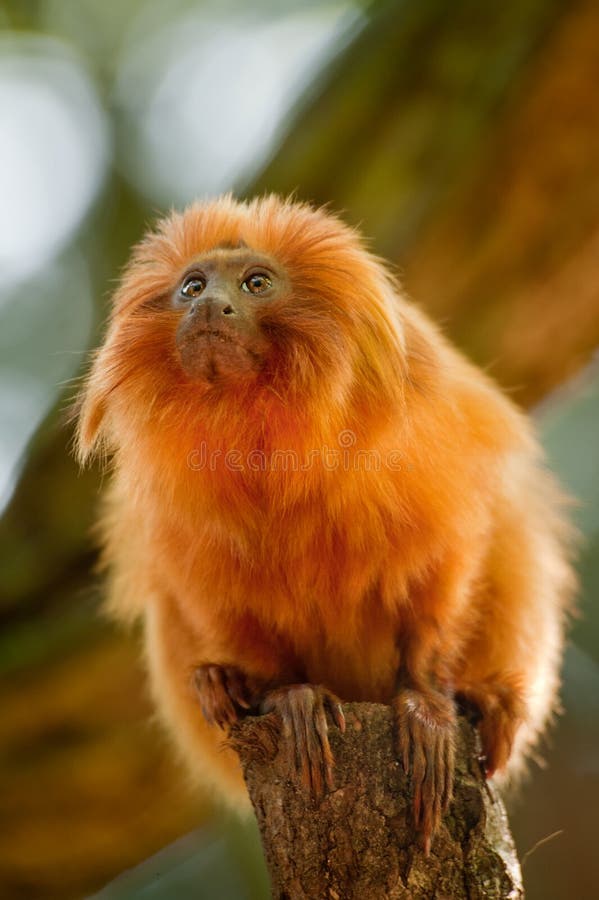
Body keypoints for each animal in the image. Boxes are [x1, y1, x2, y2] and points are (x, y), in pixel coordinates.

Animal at [76, 194, 576, 853]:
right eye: (192, 287)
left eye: (255, 284)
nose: (210, 306)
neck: (262, 421)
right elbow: (211, 594)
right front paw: (287, 695)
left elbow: (447, 560)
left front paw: (424, 708)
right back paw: (221, 684)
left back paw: (490, 703)